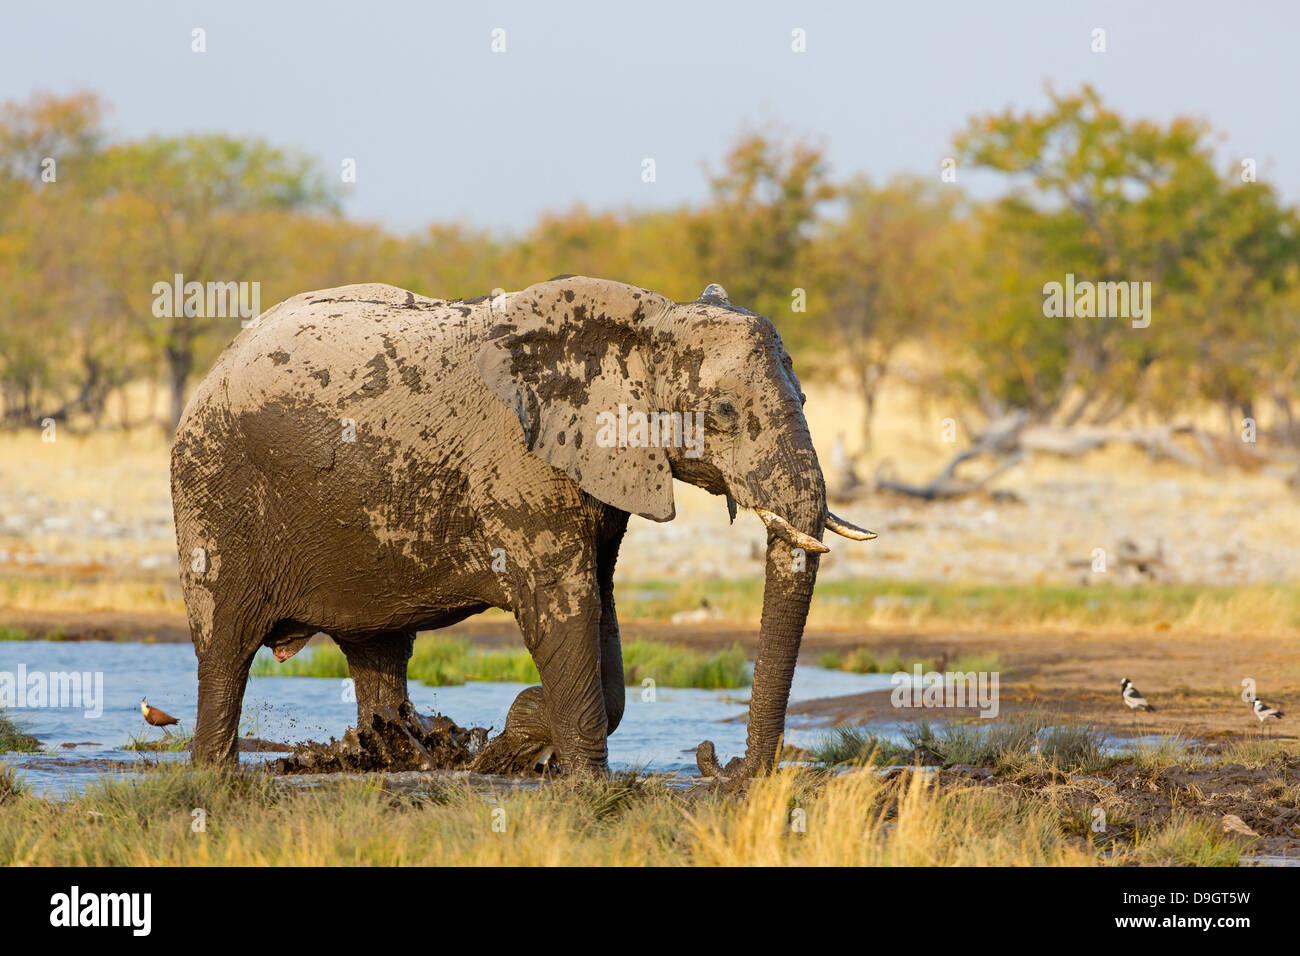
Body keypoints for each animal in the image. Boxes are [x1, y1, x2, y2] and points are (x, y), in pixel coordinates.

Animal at [170, 275, 875, 776]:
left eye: (805, 398)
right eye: (724, 413)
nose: (716, 763)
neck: (645, 327)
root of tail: (213, 369)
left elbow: (602, 606)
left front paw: (503, 749)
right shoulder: (525, 468)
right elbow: (564, 605)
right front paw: (586, 784)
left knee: (380, 649)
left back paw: (394, 754)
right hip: (214, 491)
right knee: (226, 644)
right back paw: (215, 776)